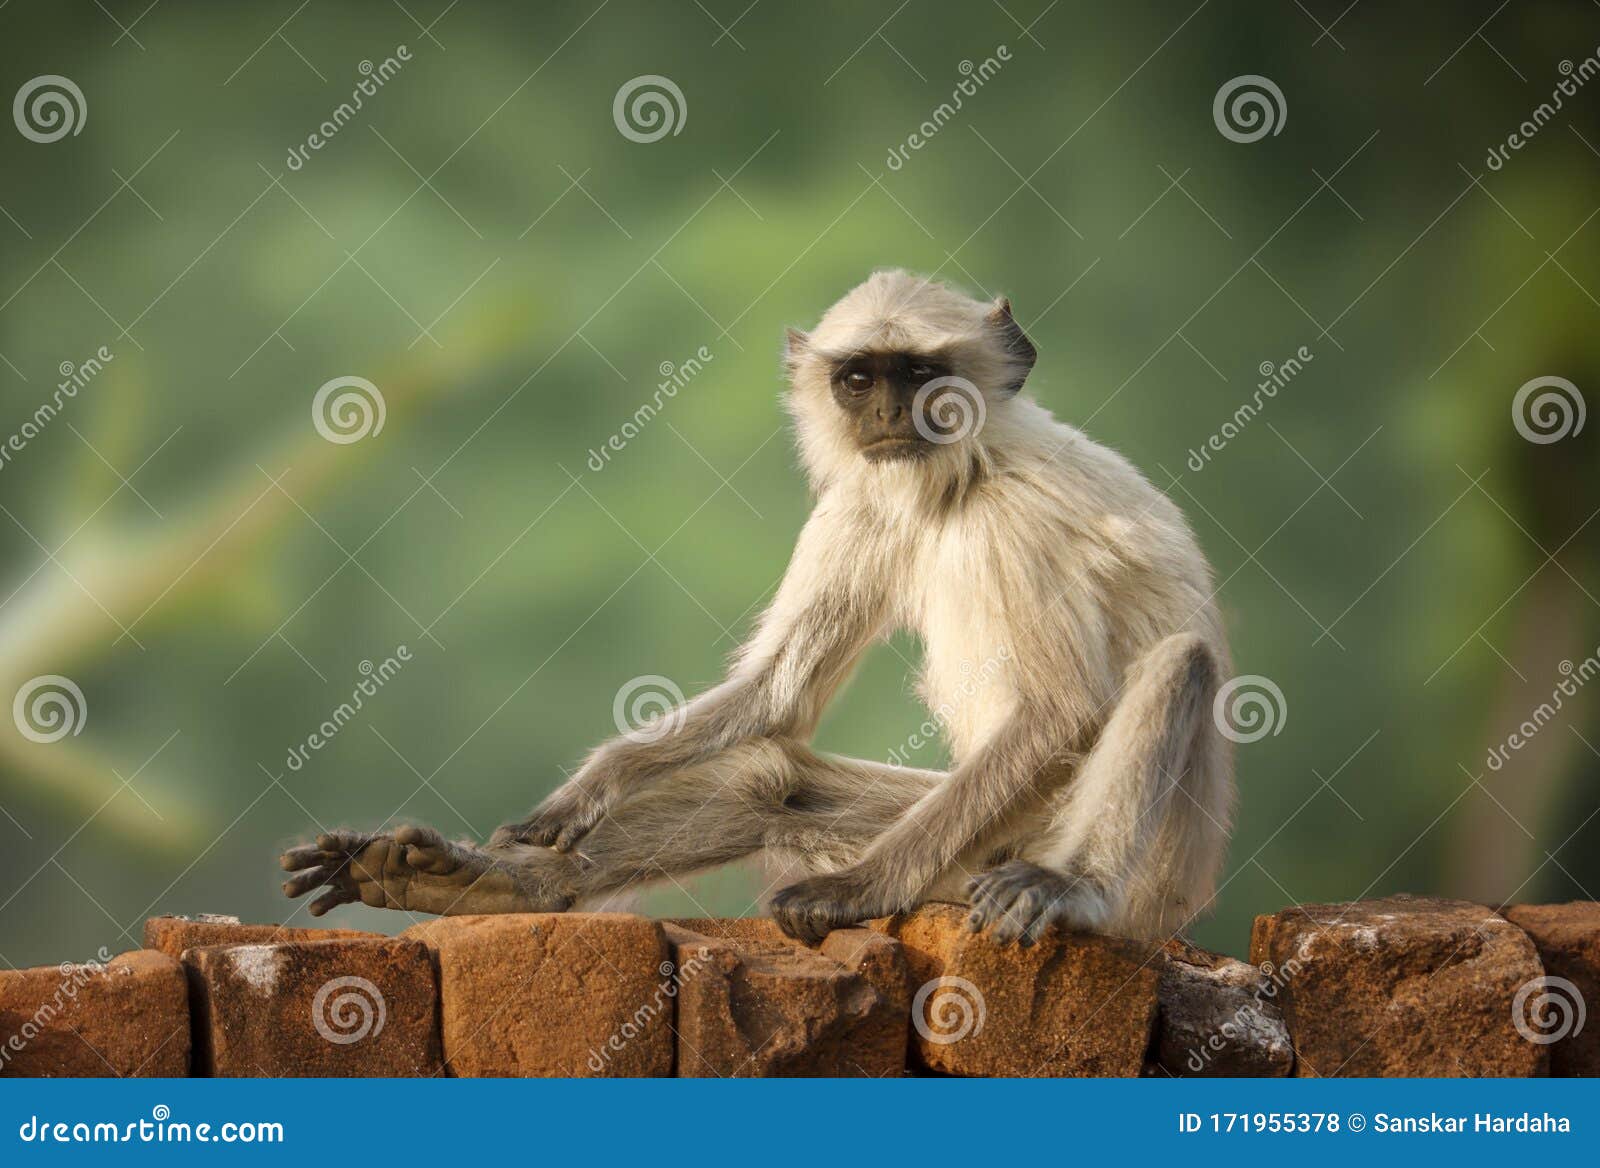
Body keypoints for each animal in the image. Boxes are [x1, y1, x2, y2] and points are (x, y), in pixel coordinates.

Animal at [281, 269, 1234, 948]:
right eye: (859, 378)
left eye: (921, 373)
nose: (891, 411)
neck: (960, 479)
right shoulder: (859, 503)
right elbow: (780, 695)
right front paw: (581, 796)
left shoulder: (1013, 521)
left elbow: (1062, 708)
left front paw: (855, 891)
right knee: (770, 777)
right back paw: (488, 883)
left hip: (1119, 867)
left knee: (1180, 662)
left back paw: (1072, 892)